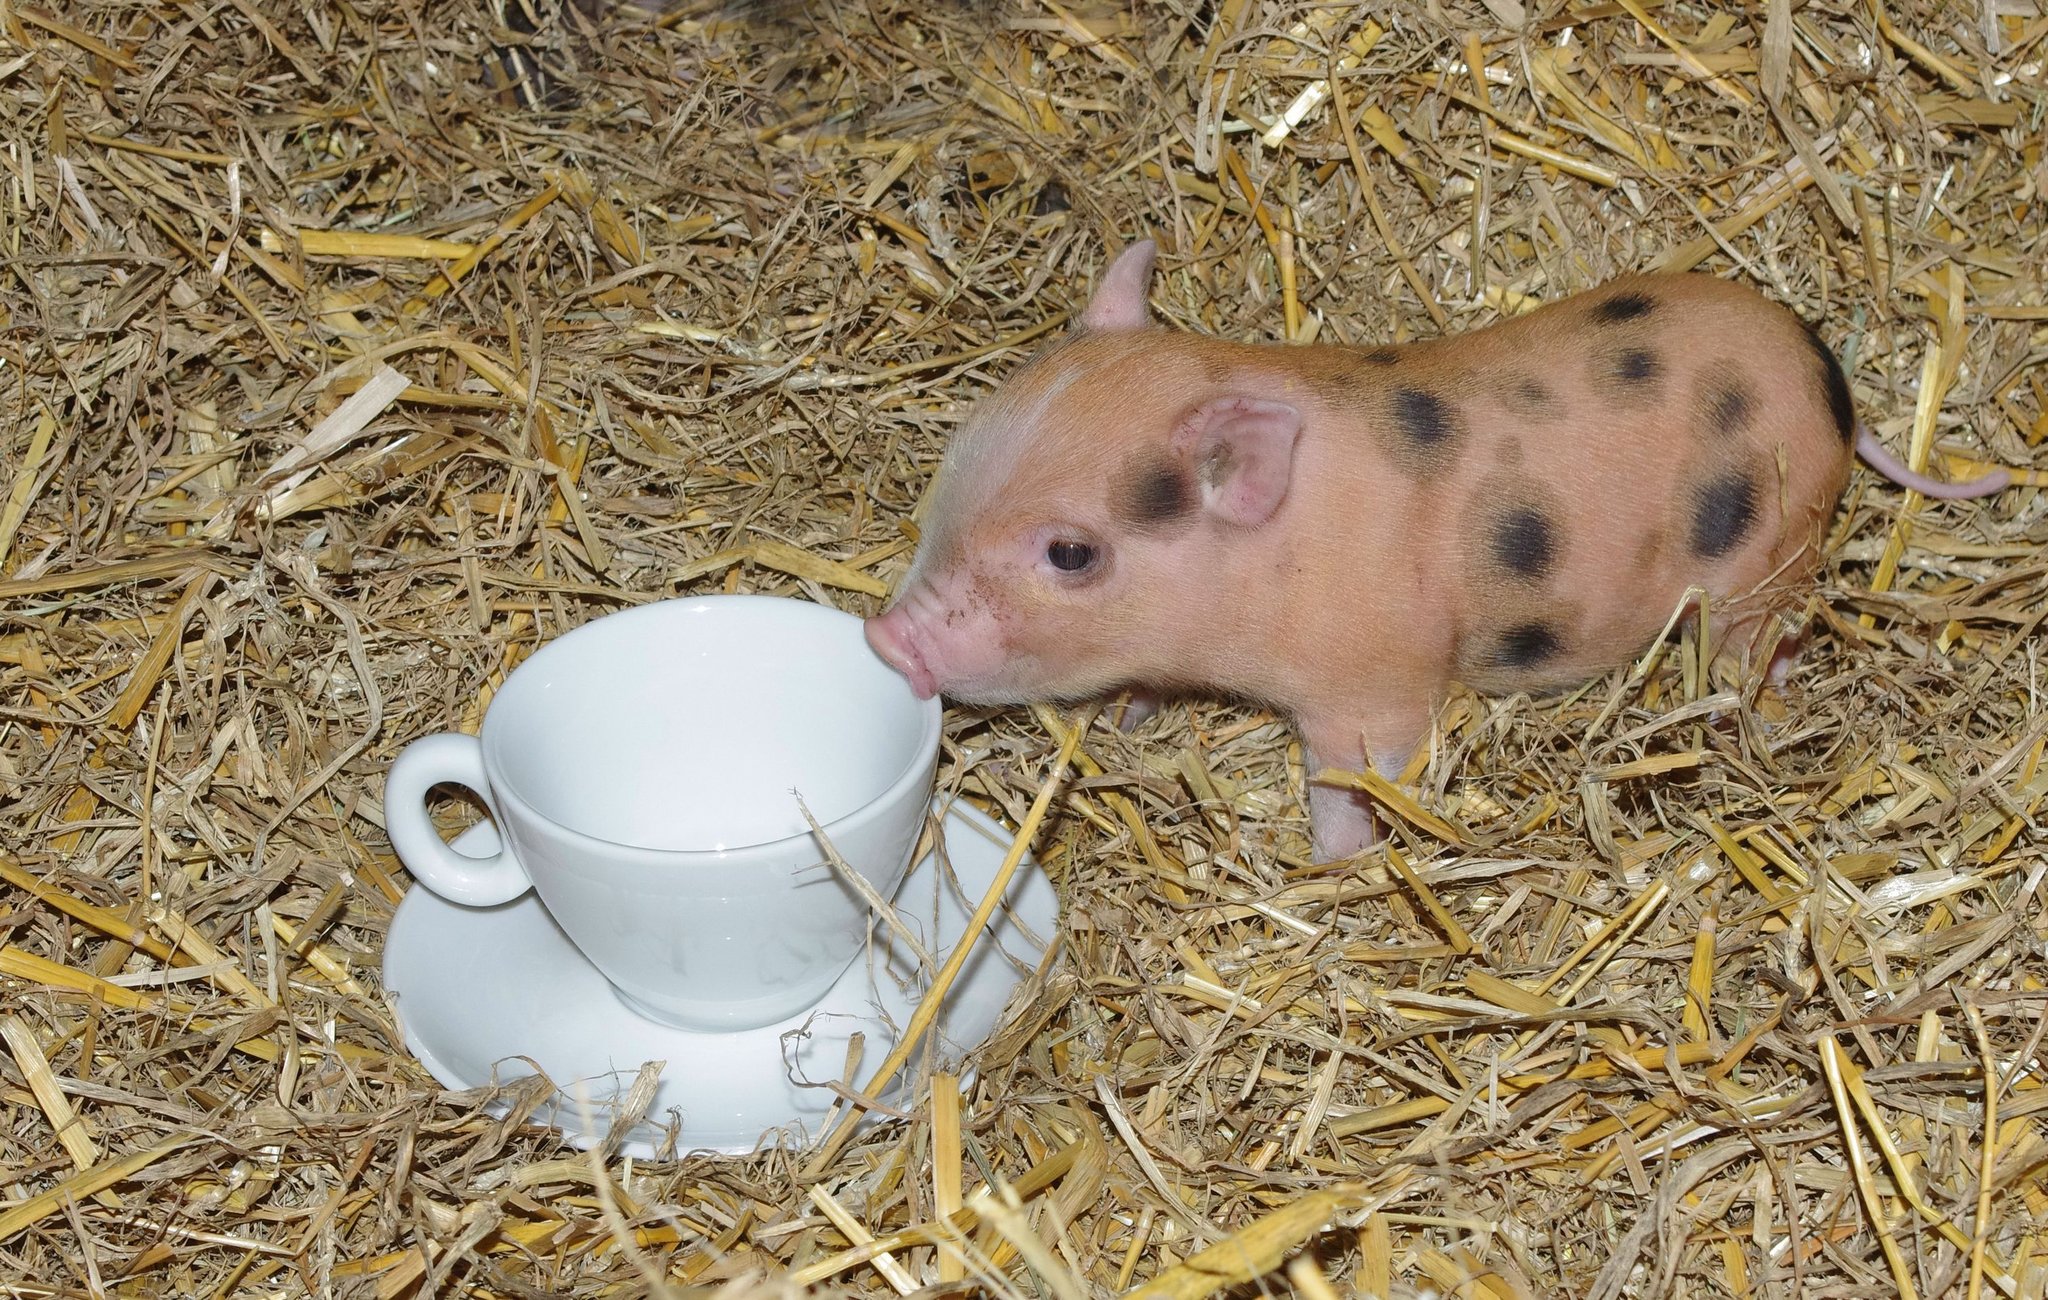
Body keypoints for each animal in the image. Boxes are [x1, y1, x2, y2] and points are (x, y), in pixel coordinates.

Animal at [863, 240, 2010, 858]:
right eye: (953, 458)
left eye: (1070, 553)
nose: (885, 639)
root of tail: (1830, 381)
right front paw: (1123, 715)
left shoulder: (1377, 682)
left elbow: (1355, 777)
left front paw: (1331, 868)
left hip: (1759, 563)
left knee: (1763, 640)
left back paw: (1751, 711)